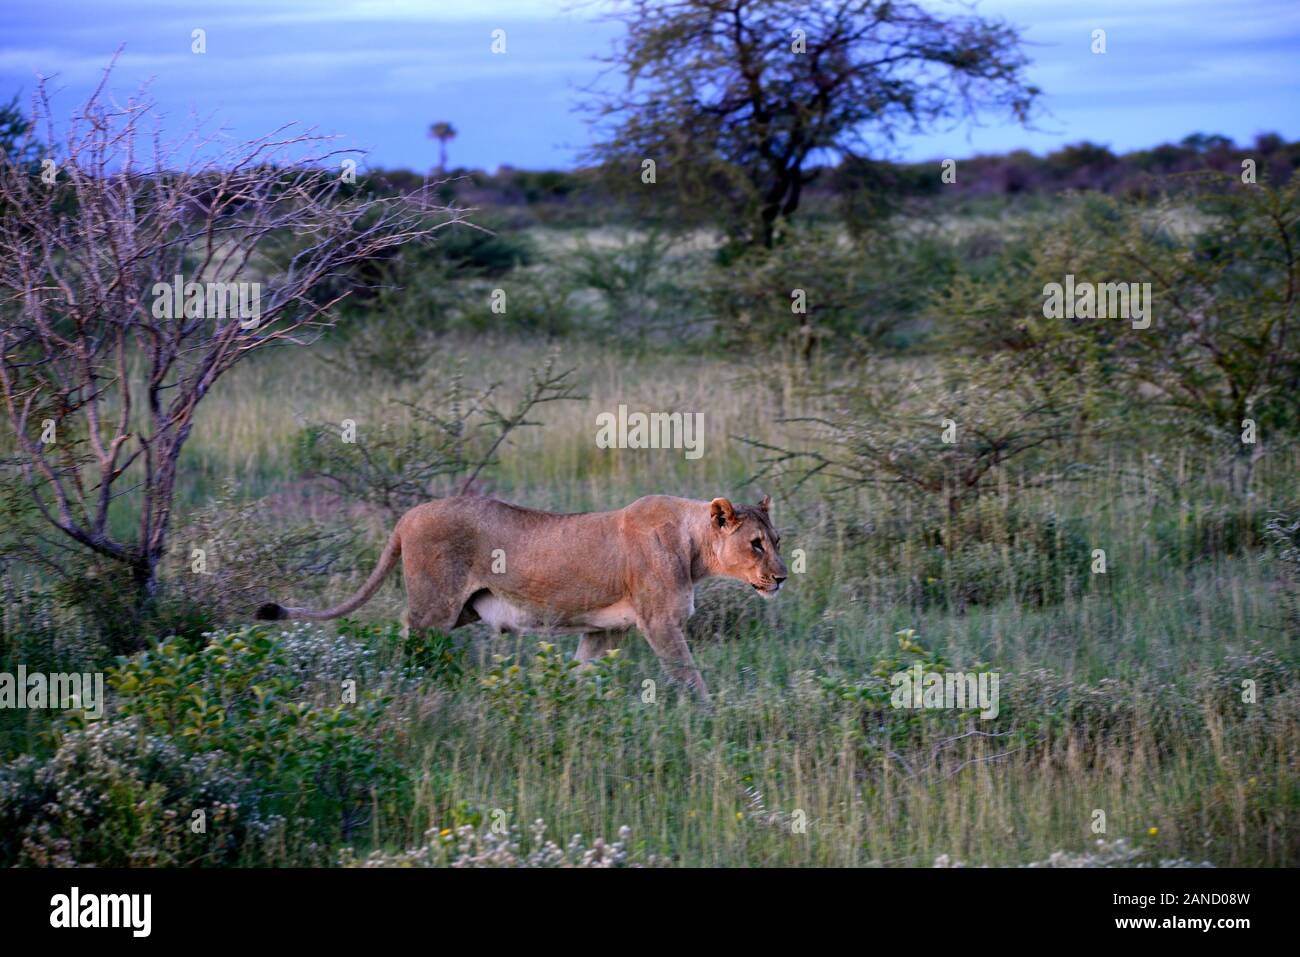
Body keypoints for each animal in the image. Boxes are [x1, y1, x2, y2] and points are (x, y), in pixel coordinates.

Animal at [256, 494, 787, 700]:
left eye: (777, 540)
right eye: (755, 544)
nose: (782, 578)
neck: (694, 546)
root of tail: (407, 516)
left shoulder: (606, 630)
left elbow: (581, 673)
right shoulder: (659, 622)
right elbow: (689, 676)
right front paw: (709, 717)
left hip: (464, 610)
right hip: (437, 607)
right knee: (408, 639)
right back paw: (410, 688)